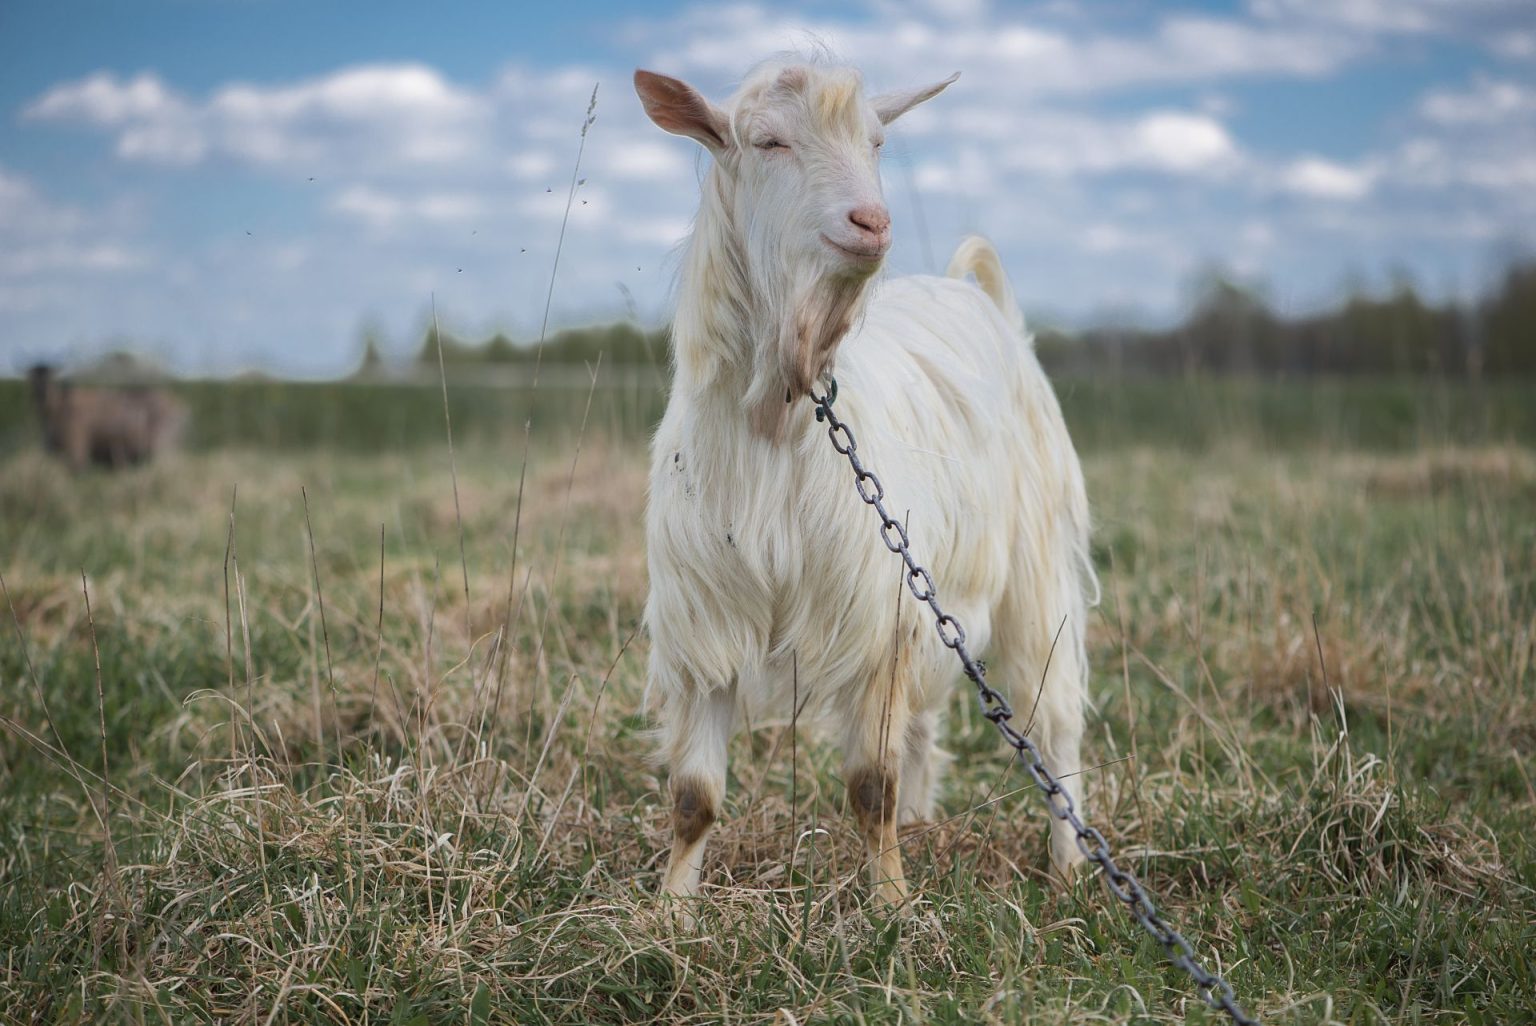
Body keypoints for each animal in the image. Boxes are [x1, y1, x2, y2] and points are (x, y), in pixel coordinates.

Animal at [635, 60, 1095, 909]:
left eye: (876, 141)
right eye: (767, 141)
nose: (872, 221)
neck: (781, 422)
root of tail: (972, 293)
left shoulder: (876, 611)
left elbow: (869, 782)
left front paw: (891, 904)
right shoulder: (704, 615)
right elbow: (693, 795)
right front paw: (671, 909)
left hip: (1032, 568)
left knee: (1055, 725)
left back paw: (1069, 866)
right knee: (924, 722)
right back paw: (923, 825)